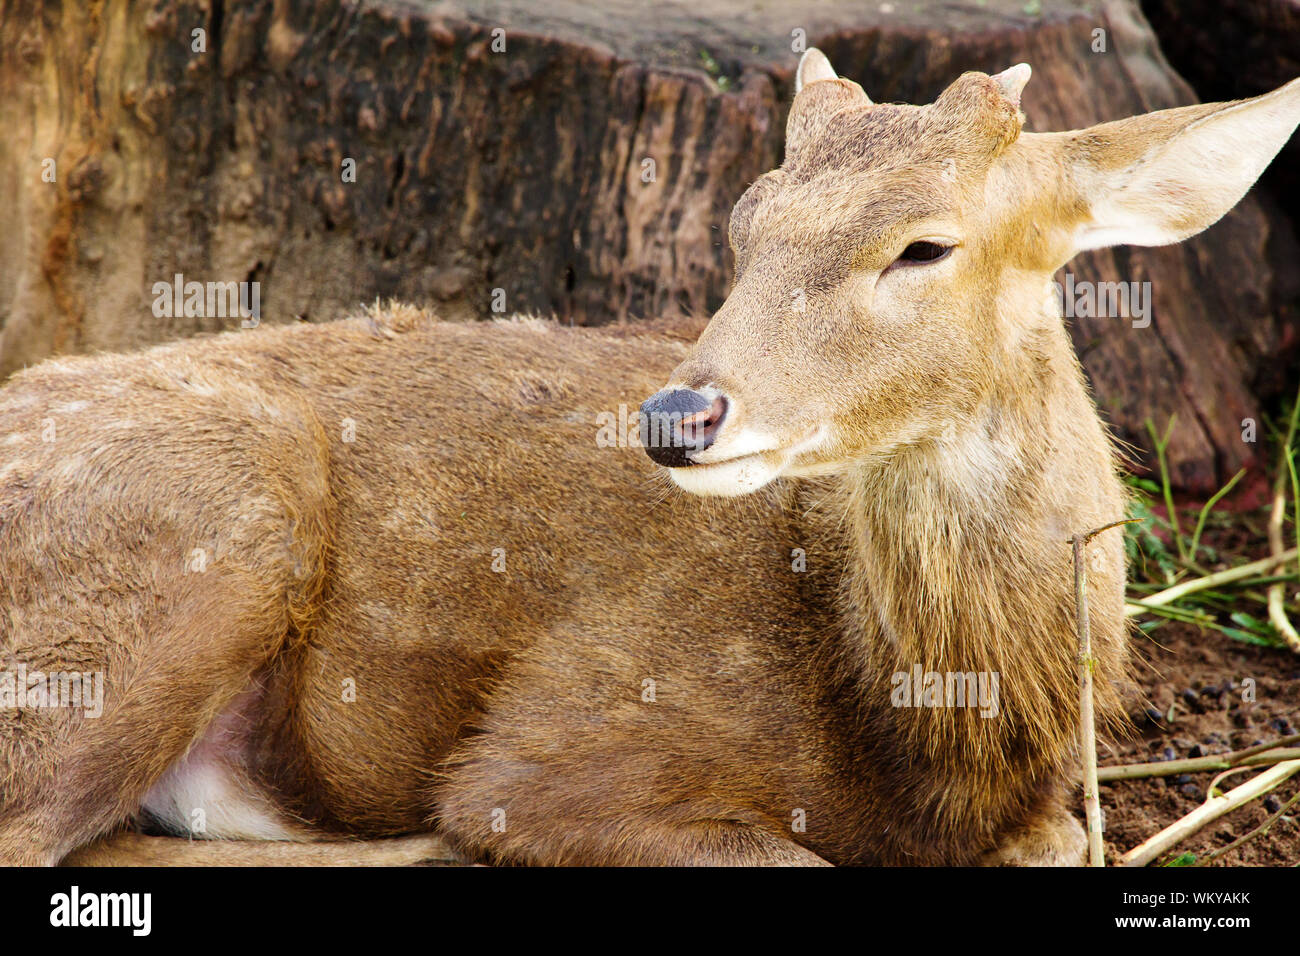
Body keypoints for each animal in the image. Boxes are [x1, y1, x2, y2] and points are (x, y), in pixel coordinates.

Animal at [2, 49, 1298, 867]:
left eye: (926, 245)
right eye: (742, 223)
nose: (678, 413)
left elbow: (1065, 839)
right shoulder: (562, 735)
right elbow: (784, 857)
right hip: (210, 531)